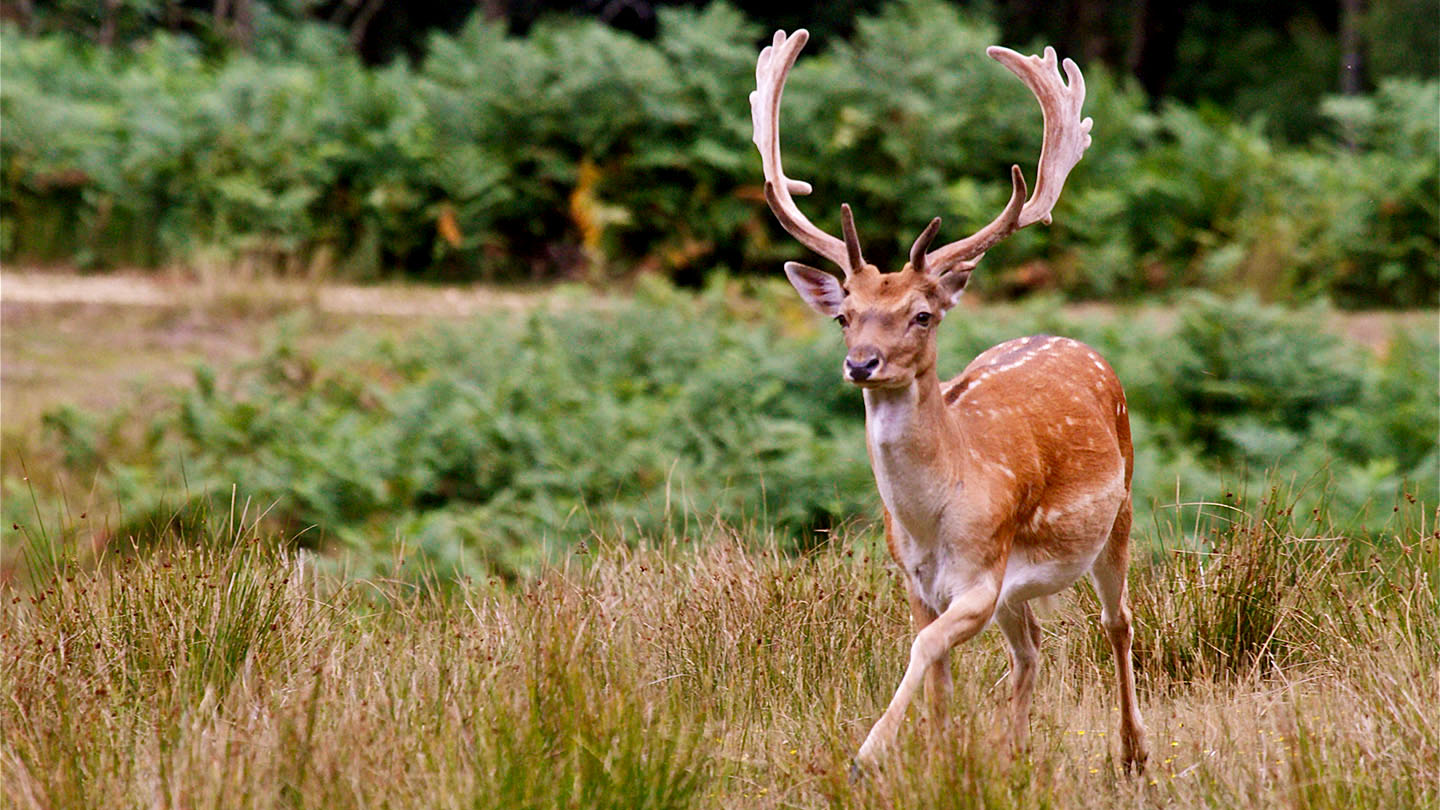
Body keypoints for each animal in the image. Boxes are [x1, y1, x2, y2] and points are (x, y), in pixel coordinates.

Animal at [750, 29, 1148, 775]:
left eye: (922, 314)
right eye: (844, 315)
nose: (861, 363)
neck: (933, 517)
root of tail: (1079, 344)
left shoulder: (981, 574)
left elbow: (924, 649)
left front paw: (868, 754)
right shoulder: (916, 581)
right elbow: (937, 674)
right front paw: (938, 759)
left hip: (1120, 515)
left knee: (1119, 622)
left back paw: (1134, 751)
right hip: (1023, 587)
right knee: (1032, 647)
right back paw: (1013, 753)